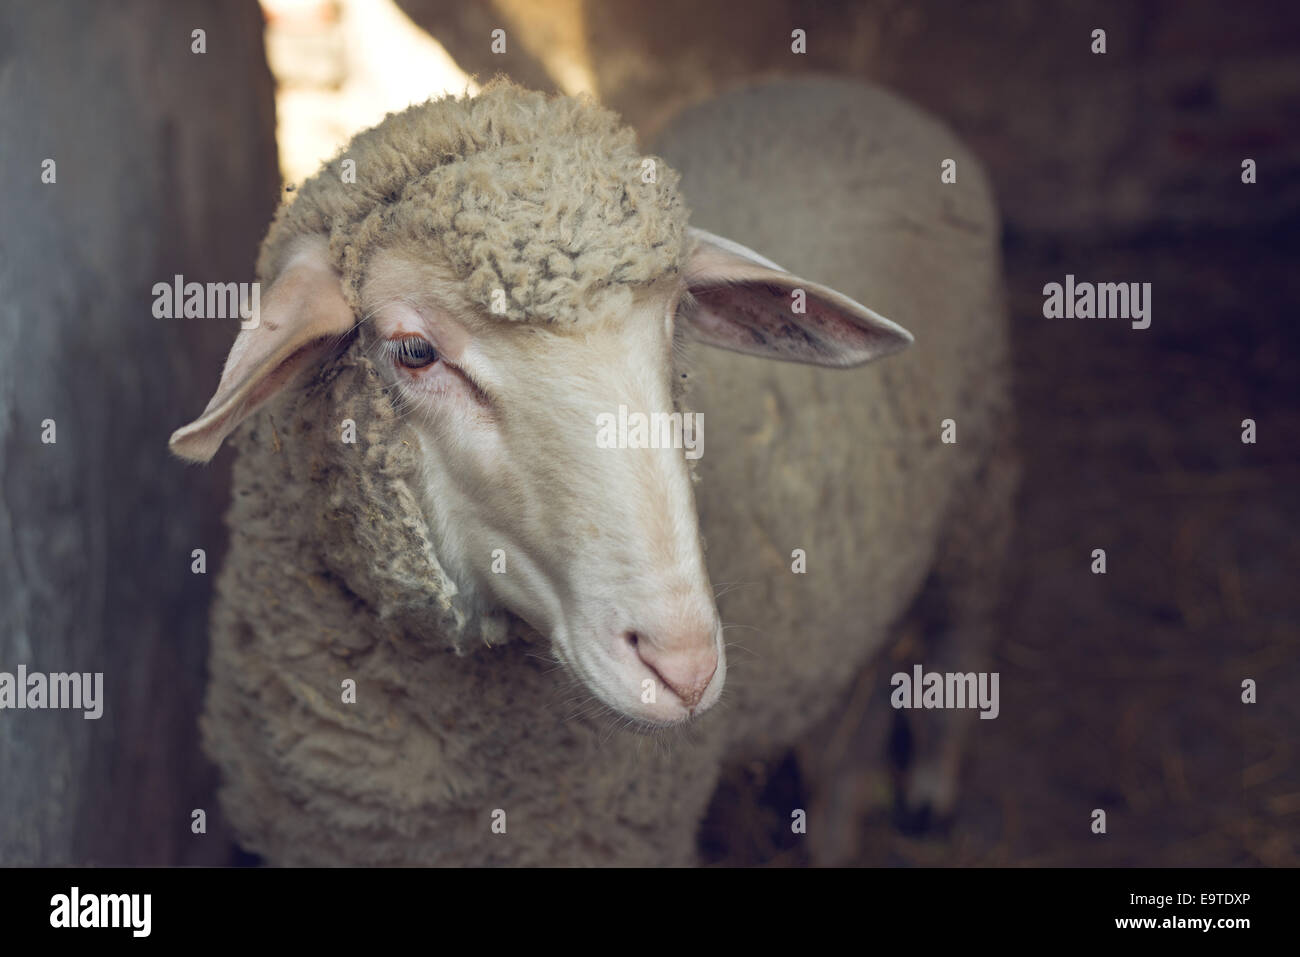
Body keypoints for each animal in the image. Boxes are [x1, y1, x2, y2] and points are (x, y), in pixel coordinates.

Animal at [169, 77, 1014, 866]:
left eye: (675, 320)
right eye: (414, 351)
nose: (683, 666)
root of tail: (858, 92)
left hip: (975, 494)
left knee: (956, 630)